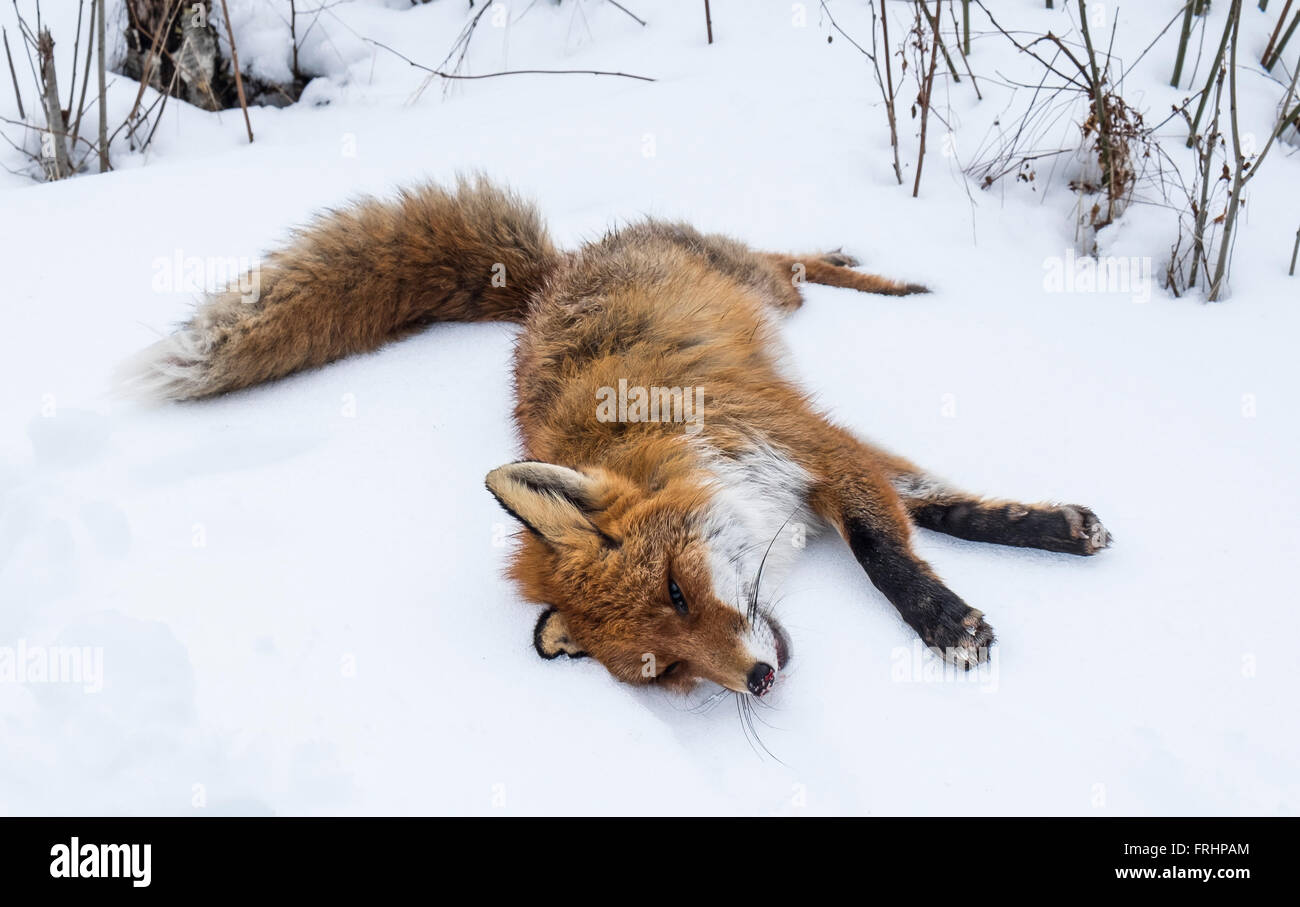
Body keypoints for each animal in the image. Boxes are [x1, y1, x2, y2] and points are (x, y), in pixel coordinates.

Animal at [119, 175, 1111, 699]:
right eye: (665, 668)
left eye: (676, 587)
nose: (757, 680)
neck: (670, 451)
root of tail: (555, 272)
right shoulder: (824, 456)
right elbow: (941, 508)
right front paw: (1055, 529)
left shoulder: (811, 444)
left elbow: (888, 543)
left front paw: (947, 620)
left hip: (767, 288)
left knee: (793, 261)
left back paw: (887, 276)